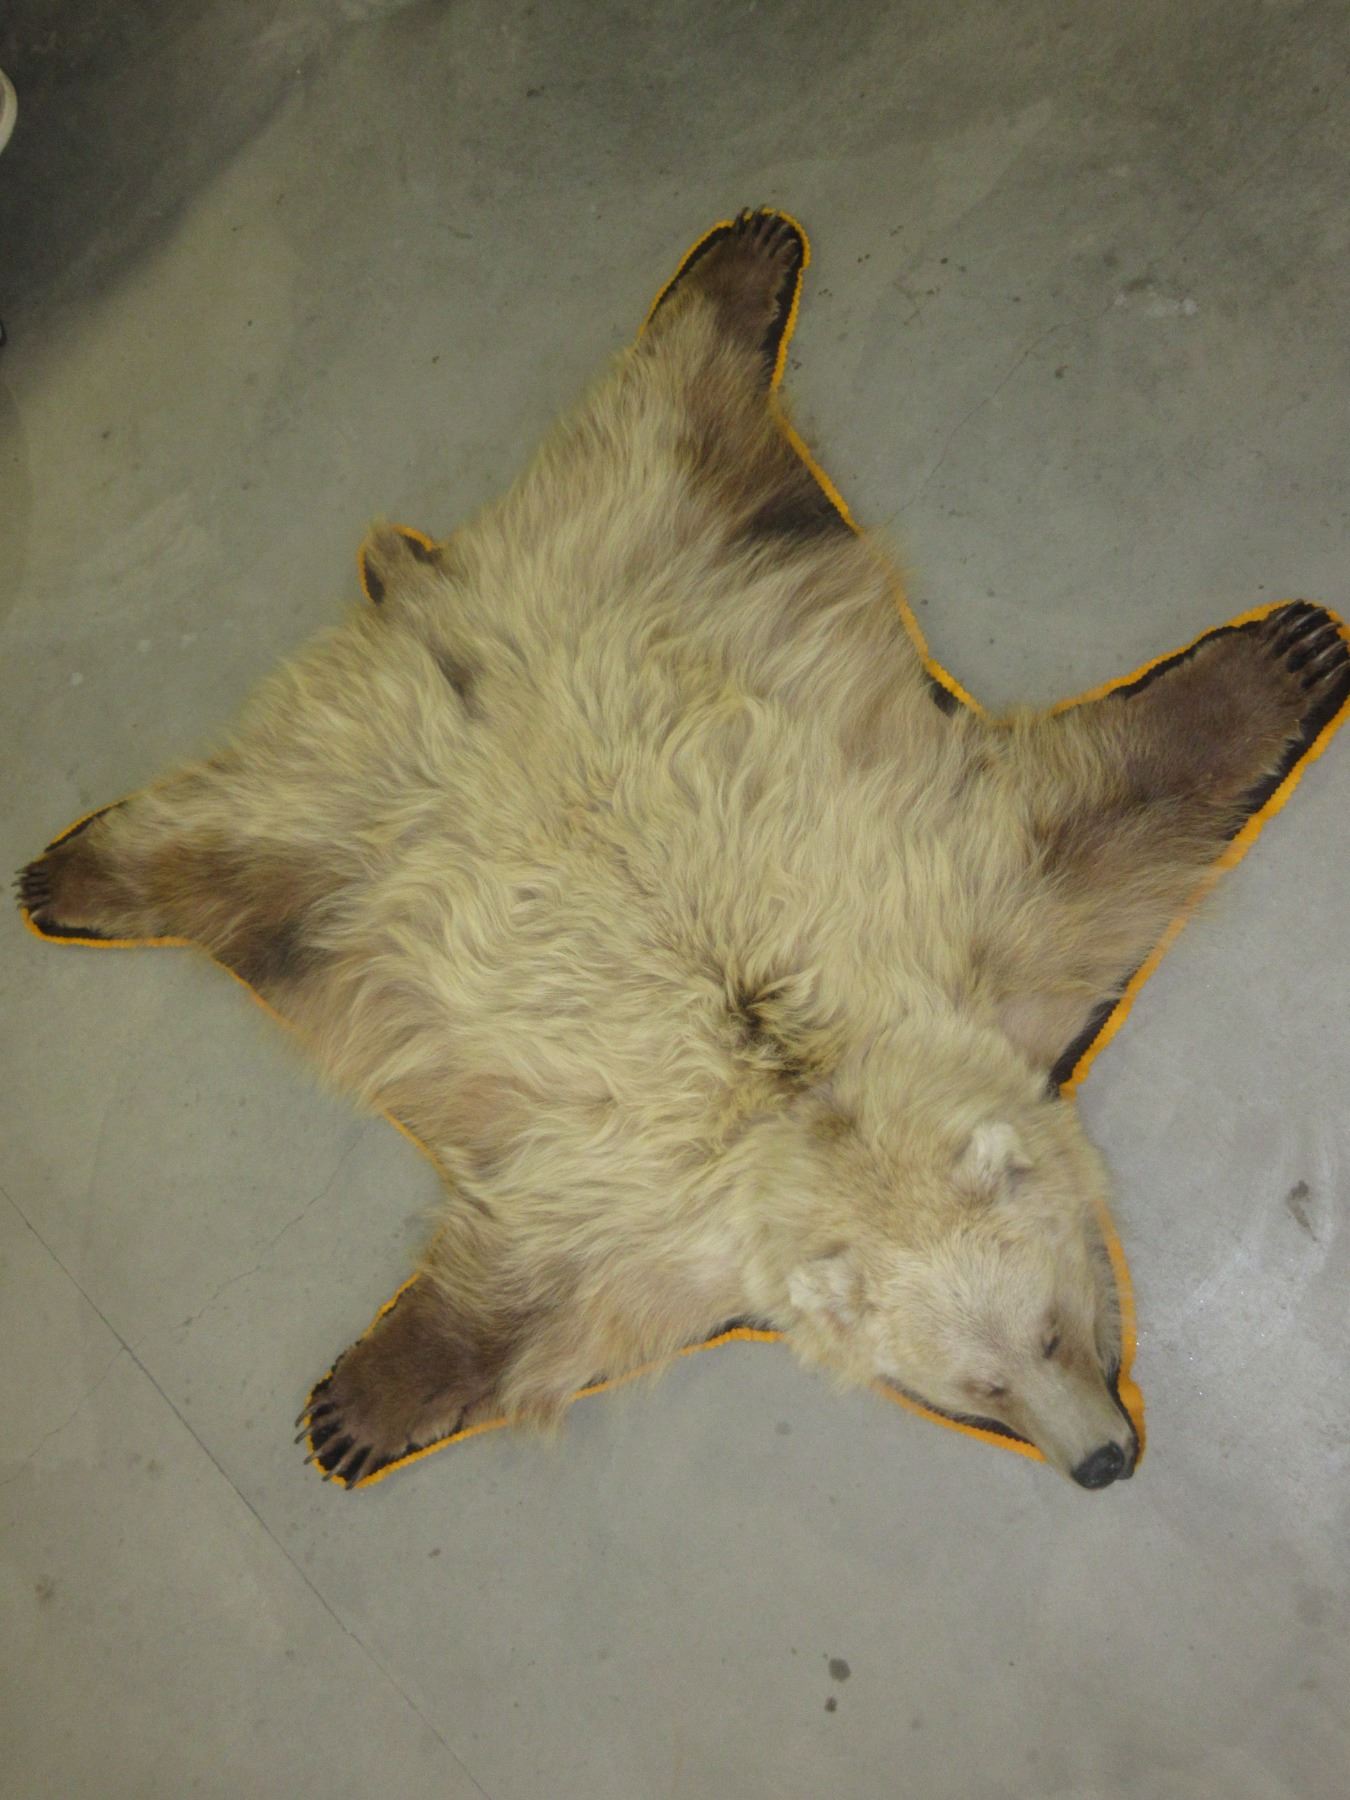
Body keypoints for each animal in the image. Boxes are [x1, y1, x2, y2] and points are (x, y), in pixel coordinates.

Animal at [19, 209, 1348, 1490]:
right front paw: (353, 1411)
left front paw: (1288, 653)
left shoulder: (986, 908)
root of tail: (431, 615)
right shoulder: (636, 1210)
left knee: (671, 408)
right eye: (975, 1389)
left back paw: (743, 258)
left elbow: (1122, 797)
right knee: (203, 843)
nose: (1104, 1461)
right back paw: (60, 873)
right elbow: (520, 1312)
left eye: (1054, 1332)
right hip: (338, 828)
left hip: (653, 542)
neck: (803, 1083)